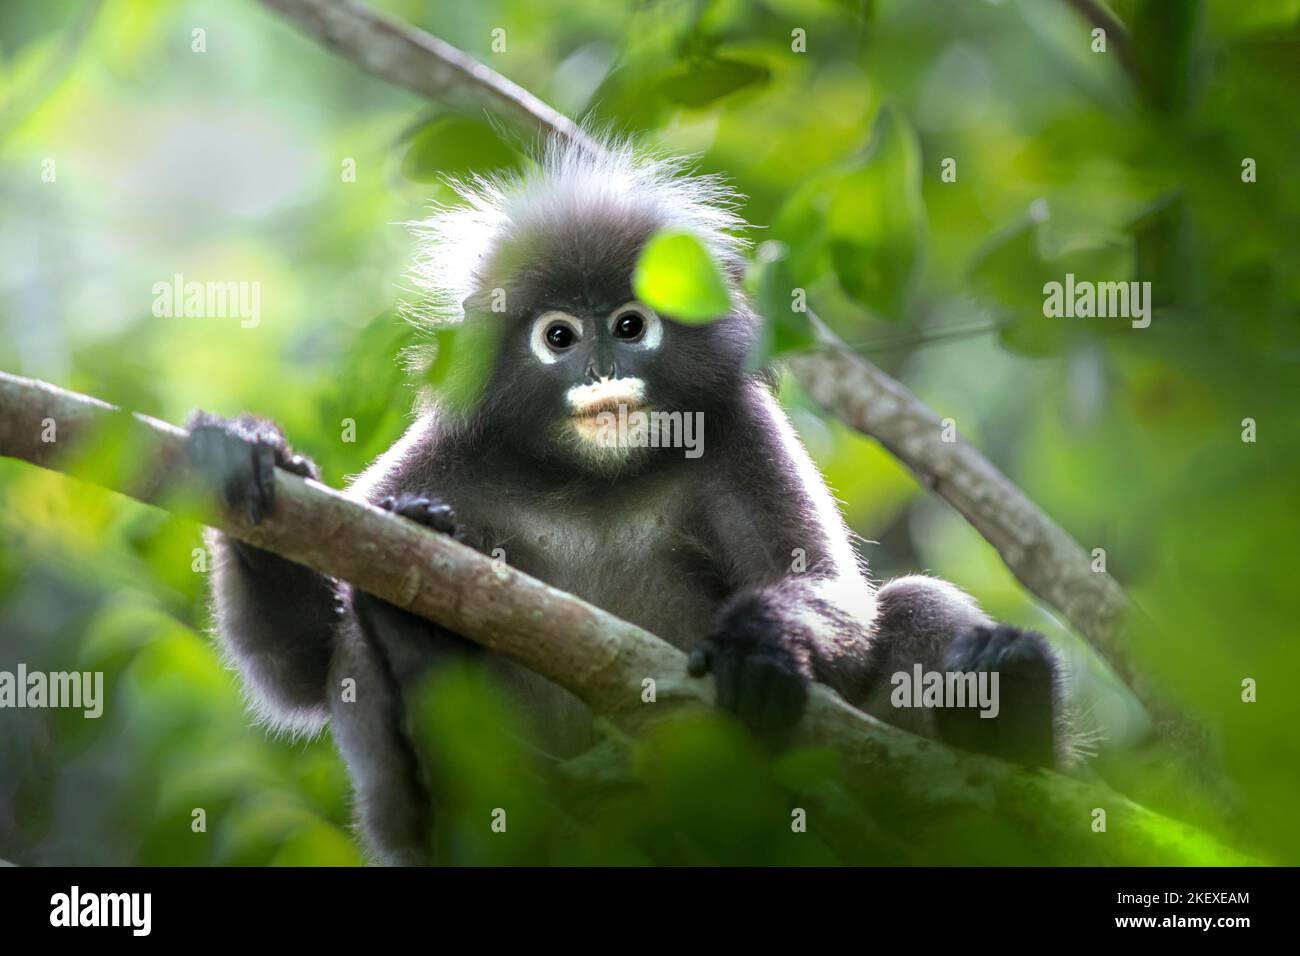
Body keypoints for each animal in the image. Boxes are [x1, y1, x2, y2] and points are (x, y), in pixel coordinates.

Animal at [187, 135, 1069, 865]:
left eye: (629, 325)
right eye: (559, 336)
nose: (602, 374)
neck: (592, 481)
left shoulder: (740, 426)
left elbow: (827, 590)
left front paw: (761, 642)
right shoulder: (437, 456)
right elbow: (301, 667)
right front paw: (251, 452)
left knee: (914, 603)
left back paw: (1011, 714)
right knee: (358, 650)